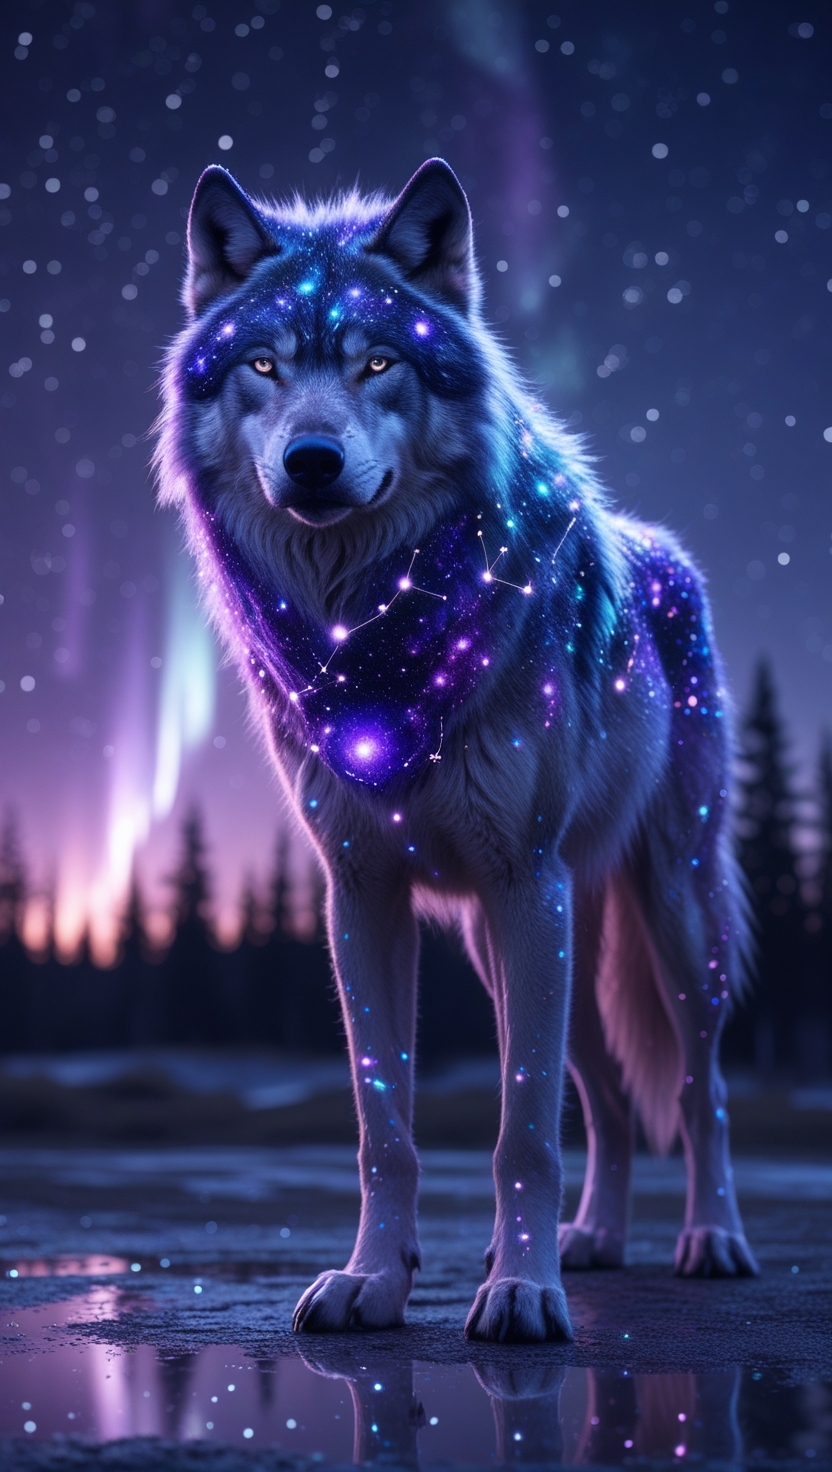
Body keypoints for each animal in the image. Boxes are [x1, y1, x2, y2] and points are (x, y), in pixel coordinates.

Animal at [156, 158, 758, 1344]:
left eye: (378, 362)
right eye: (263, 365)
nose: (312, 460)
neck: (373, 627)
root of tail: (669, 553)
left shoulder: (525, 881)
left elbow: (520, 1128)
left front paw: (521, 1293)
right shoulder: (361, 893)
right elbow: (383, 1127)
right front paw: (375, 1281)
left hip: (658, 916)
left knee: (697, 1089)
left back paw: (707, 1240)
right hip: (518, 938)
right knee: (605, 1098)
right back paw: (593, 1239)